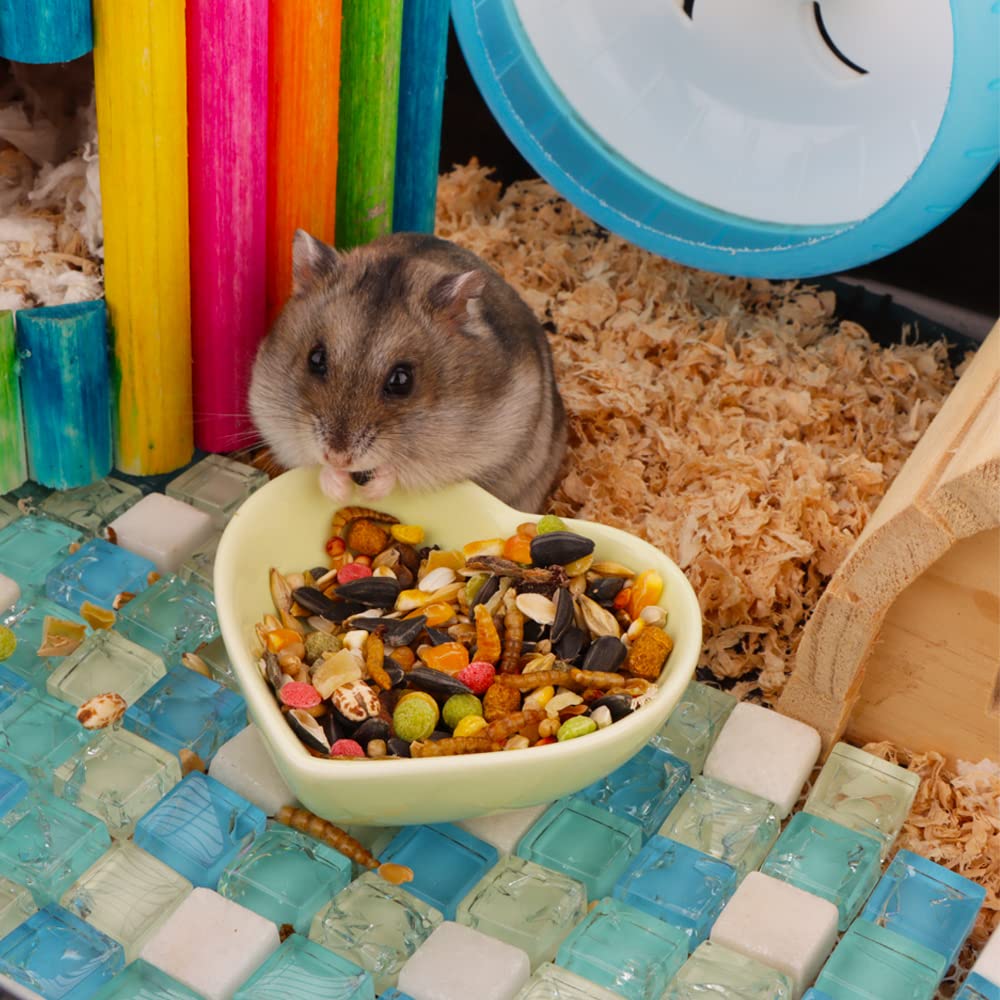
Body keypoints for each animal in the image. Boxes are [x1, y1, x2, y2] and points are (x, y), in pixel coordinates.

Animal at [249, 230, 567, 513]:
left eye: (402, 380)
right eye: (315, 359)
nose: (339, 457)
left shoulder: (468, 453)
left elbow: (399, 470)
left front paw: (369, 492)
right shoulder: (275, 420)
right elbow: (313, 464)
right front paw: (339, 489)